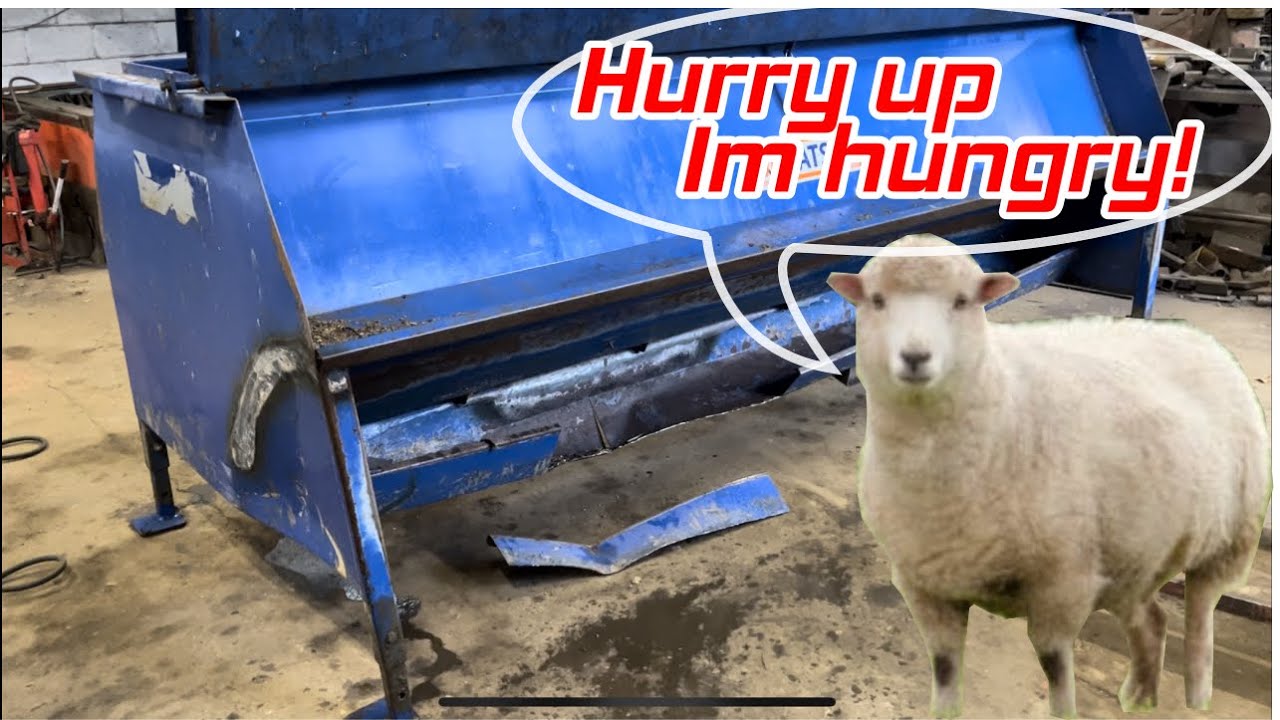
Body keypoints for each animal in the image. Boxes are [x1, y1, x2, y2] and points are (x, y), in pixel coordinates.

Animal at [826, 233, 1271, 719]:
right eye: (877, 300)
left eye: (962, 301)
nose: (915, 357)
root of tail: (1192, 334)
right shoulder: (923, 585)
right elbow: (944, 669)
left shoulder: (1062, 583)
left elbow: (1055, 667)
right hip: (1134, 556)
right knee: (1153, 621)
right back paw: (1139, 697)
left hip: (1228, 542)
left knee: (1200, 621)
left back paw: (1197, 696)